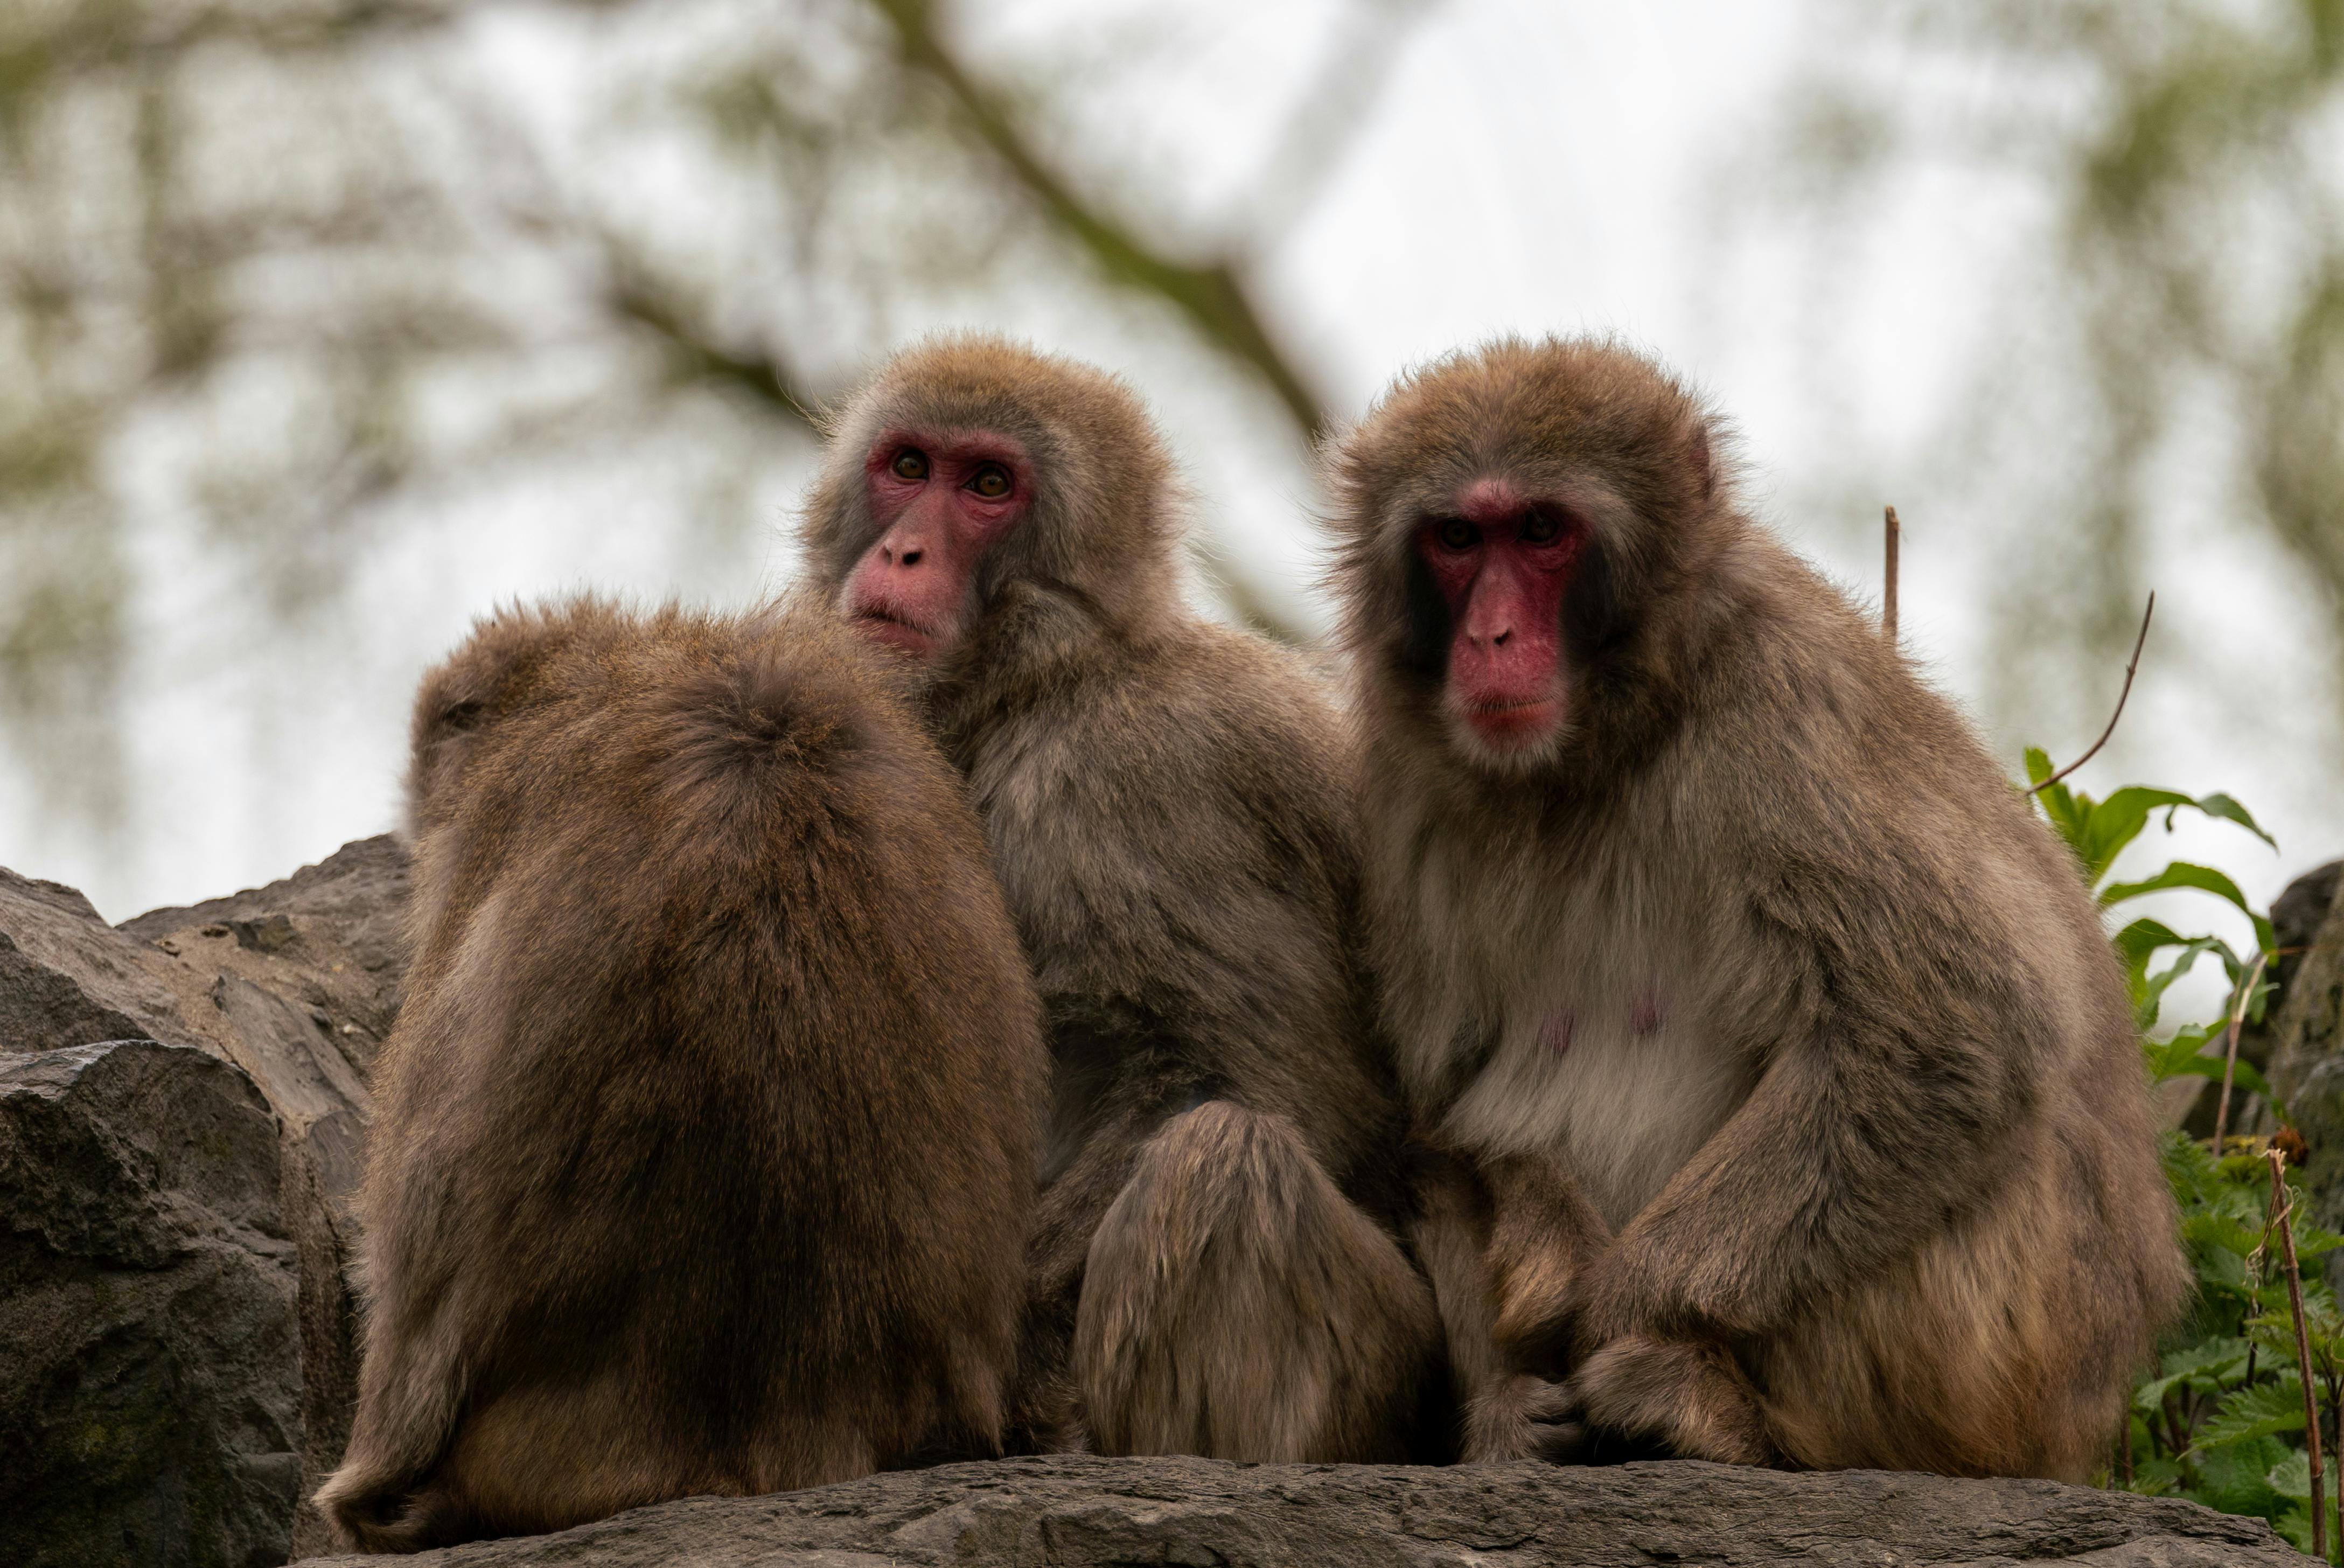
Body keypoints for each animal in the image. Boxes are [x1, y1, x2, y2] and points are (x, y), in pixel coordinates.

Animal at [796, 336, 1444, 1463]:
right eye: (909, 467)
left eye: (990, 486)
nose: (904, 554)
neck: (1045, 679)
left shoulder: (1135, 790)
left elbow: (1265, 1078)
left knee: (1226, 1165)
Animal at [1319, 336, 2187, 1481]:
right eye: (1457, 538)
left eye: (1542, 530)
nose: (1494, 636)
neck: (1596, 750)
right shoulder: (1396, 783)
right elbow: (1441, 1120)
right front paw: (1510, 1389)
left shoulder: (1780, 704)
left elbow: (1953, 1036)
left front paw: (1611, 1313)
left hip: (2012, 1370)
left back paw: (1724, 1419)